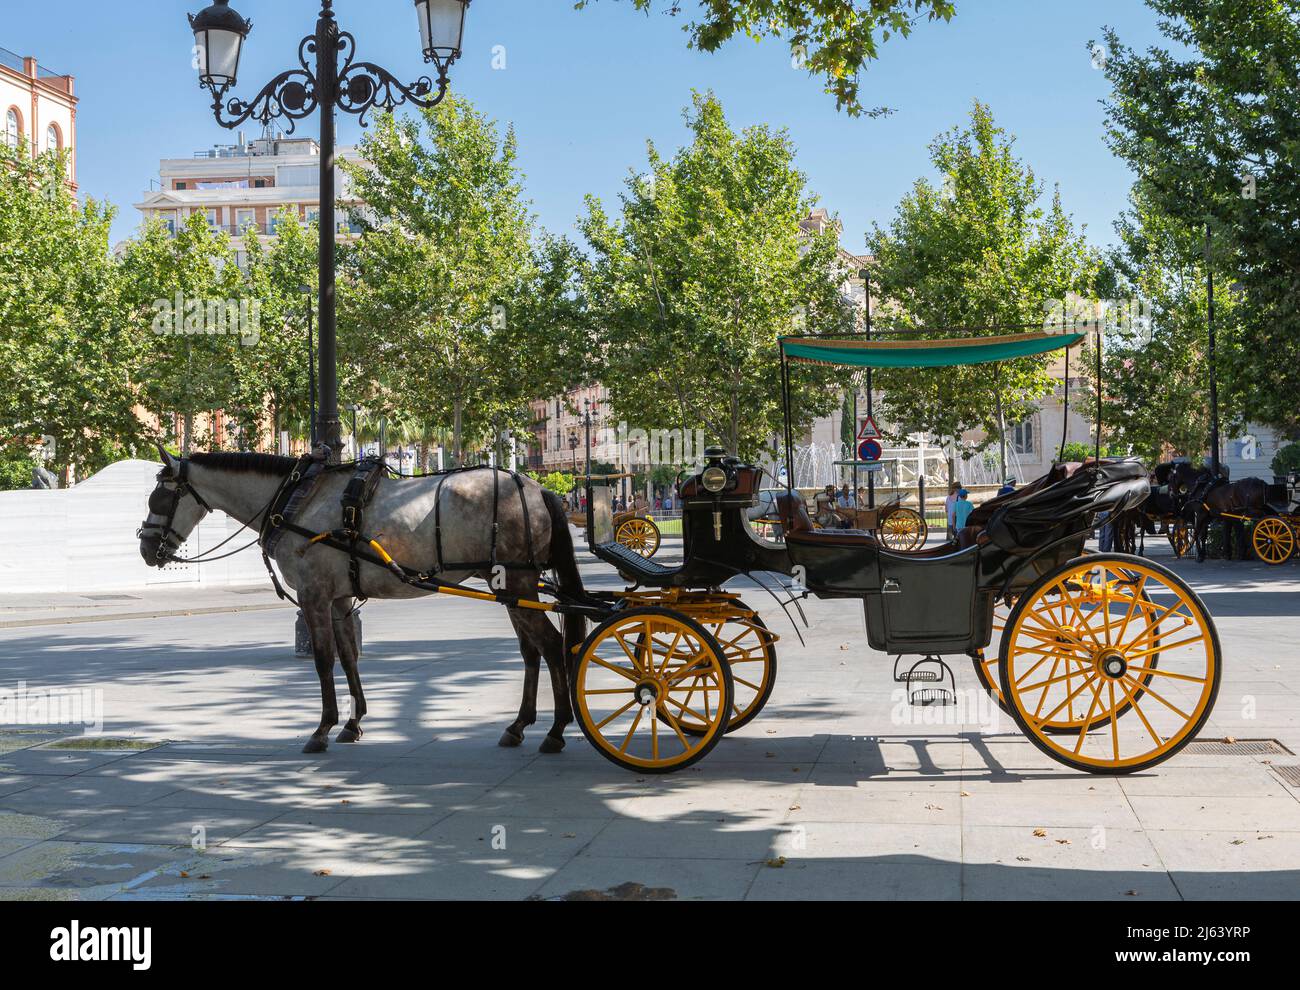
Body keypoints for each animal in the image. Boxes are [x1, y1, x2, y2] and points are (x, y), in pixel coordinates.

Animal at [137, 445, 586, 755]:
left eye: (158, 499)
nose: (145, 549)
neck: (297, 498)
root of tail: (536, 488)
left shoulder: (314, 596)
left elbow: (323, 661)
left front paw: (322, 729)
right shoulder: (338, 599)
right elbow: (349, 656)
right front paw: (352, 724)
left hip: (517, 584)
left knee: (551, 647)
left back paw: (556, 729)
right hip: (512, 589)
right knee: (532, 652)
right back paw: (520, 725)